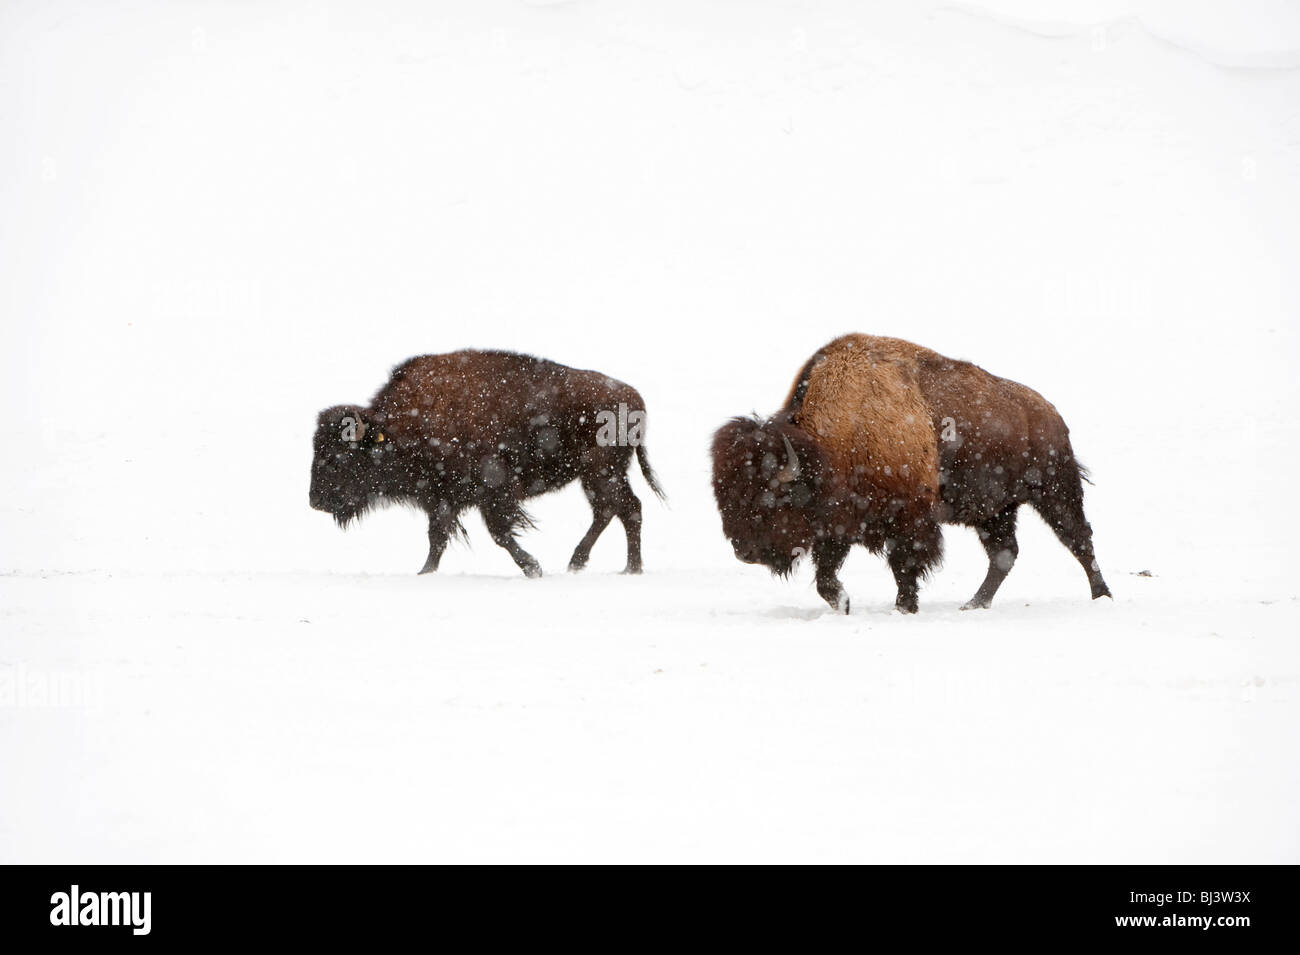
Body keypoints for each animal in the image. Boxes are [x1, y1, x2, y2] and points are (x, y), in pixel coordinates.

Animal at [311, 350, 663, 576]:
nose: (315, 501)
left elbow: (499, 533)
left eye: (337, 458)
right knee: (615, 509)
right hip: (599, 476)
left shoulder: (493, 493)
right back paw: (594, 564)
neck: (403, 426)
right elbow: (437, 537)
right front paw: (425, 572)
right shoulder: (442, 498)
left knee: (623, 508)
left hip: (601, 473)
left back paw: (623, 568)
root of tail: (634, 398)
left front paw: (533, 568)